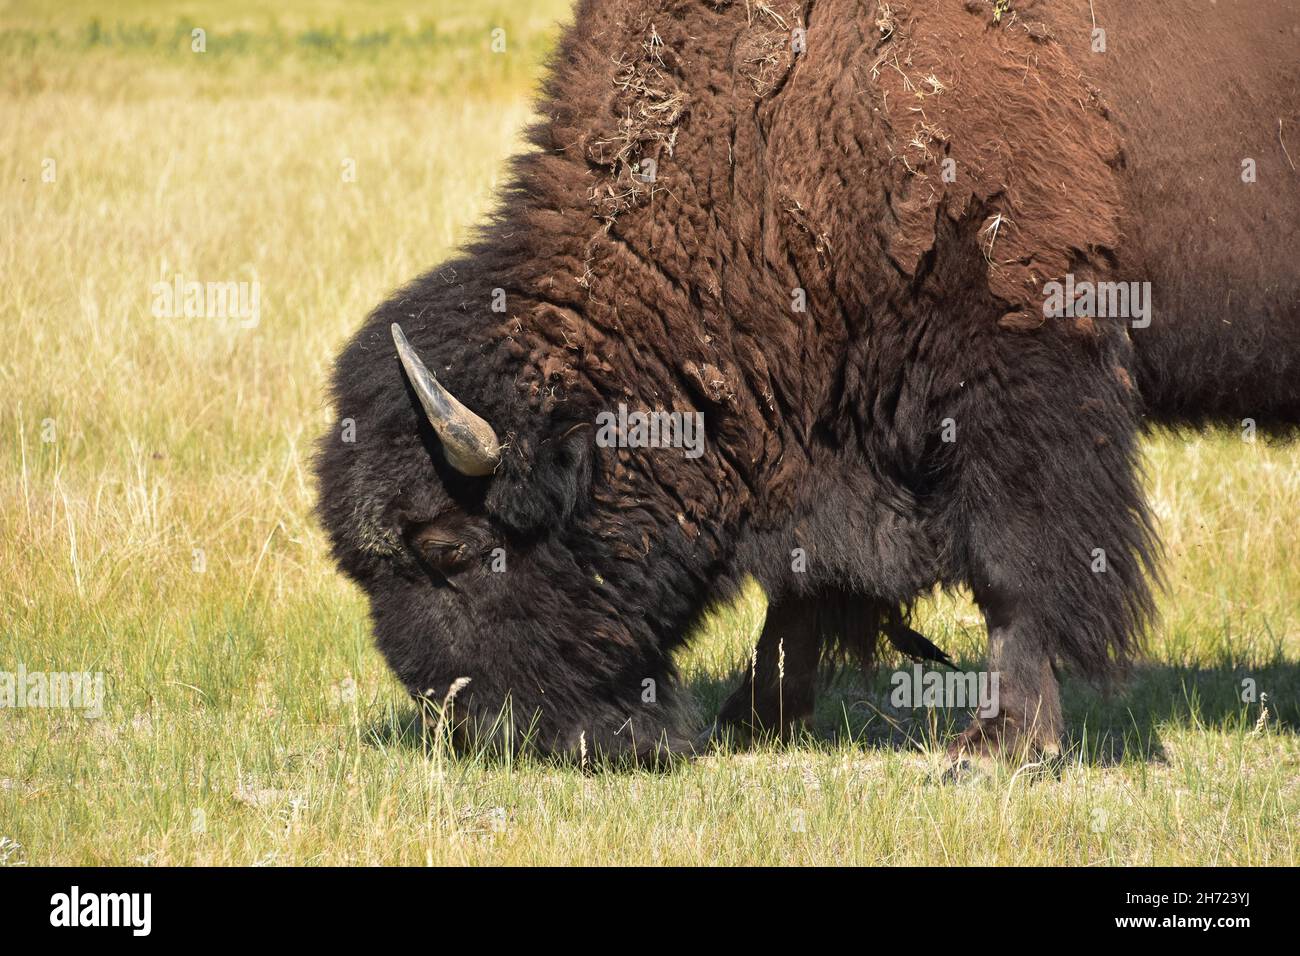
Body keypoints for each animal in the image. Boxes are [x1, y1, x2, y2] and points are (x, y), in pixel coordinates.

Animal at [316, 0, 1300, 762]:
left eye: (450, 549)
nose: (482, 734)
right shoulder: (827, 427)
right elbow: (807, 580)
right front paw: (753, 718)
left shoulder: (1015, 379)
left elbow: (1013, 564)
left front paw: (999, 745)